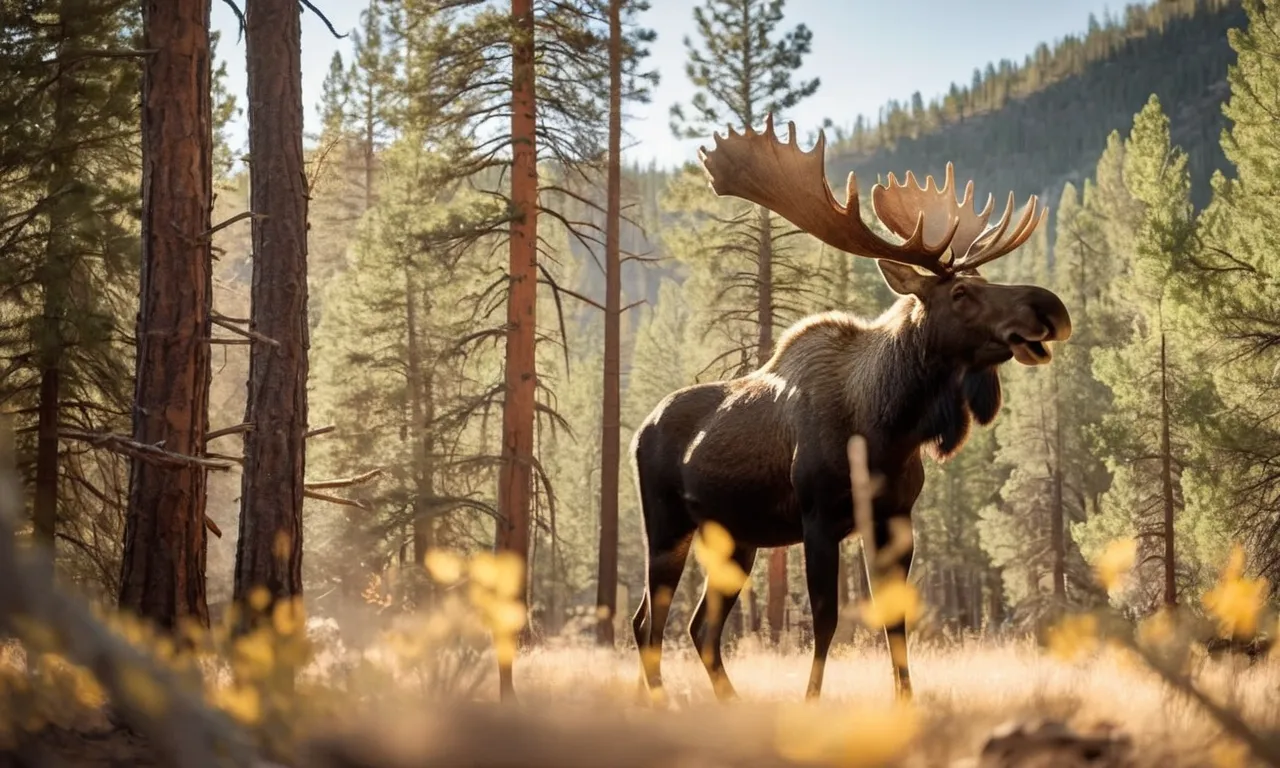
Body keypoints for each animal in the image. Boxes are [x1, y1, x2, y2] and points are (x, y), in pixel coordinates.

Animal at [628, 114, 1073, 703]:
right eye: (960, 293)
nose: (1050, 307)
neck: (889, 427)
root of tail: (638, 431)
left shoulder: (893, 518)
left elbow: (894, 621)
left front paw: (905, 702)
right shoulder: (817, 516)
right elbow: (825, 620)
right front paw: (811, 701)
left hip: (735, 538)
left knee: (700, 626)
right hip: (666, 524)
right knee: (649, 620)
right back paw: (661, 701)